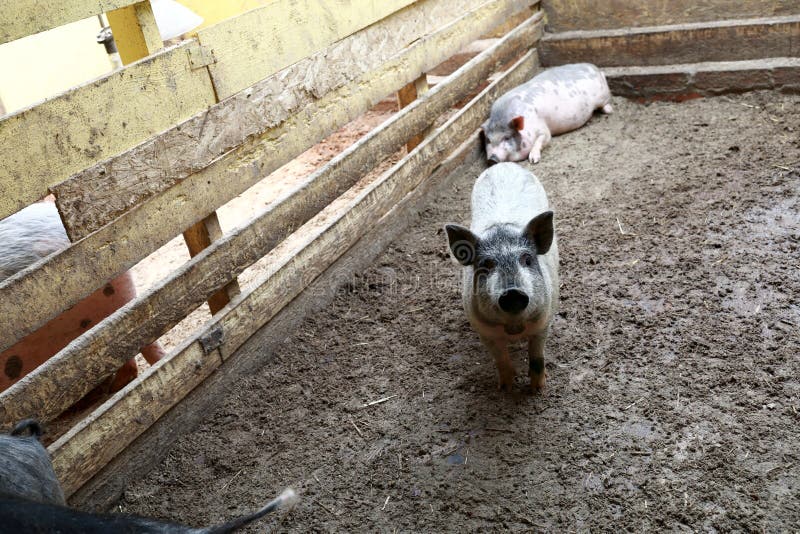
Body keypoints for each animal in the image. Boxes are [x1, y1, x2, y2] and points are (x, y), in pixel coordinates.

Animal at [445, 163, 558, 391]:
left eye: (527, 259)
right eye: (486, 265)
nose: (512, 292)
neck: (514, 329)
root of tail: (504, 164)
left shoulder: (544, 321)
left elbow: (537, 357)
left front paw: (538, 389)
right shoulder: (484, 331)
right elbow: (500, 358)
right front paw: (506, 388)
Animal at [482, 63, 612, 164]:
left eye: (507, 137)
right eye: (488, 139)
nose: (492, 159)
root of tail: (596, 69)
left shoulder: (542, 129)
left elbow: (544, 139)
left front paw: (533, 160)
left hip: (602, 96)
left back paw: (609, 110)